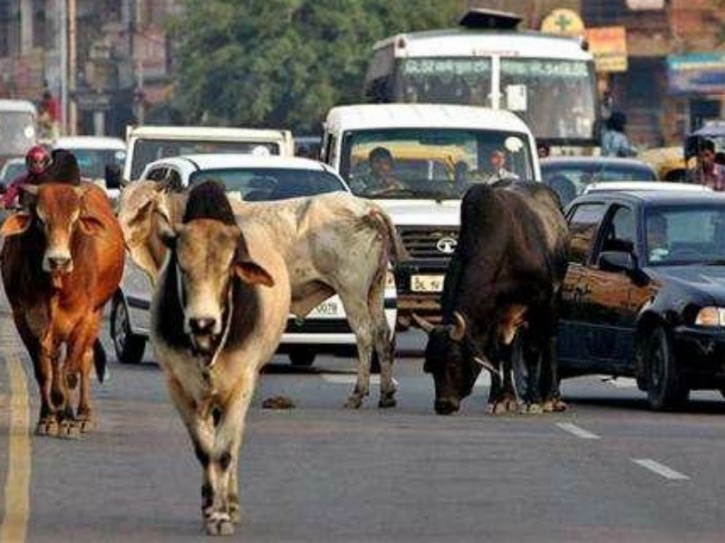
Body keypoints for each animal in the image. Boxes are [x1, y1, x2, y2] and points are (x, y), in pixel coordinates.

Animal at [1, 182, 125, 435]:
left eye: (74, 220)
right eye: (40, 220)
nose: (58, 261)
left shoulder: (83, 318)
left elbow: (70, 372)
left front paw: (68, 420)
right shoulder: (24, 319)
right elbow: (44, 372)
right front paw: (48, 418)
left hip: (95, 315)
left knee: (84, 360)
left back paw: (82, 415)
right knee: (55, 360)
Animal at [118, 180, 405, 409]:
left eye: (145, 206)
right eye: (120, 203)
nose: (120, 235)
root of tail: (365, 207)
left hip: (351, 290)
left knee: (365, 335)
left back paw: (358, 394)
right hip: (375, 288)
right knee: (382, 334)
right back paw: (386, 394)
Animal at [150, 181, 291, 535]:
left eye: (228, 270)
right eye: (182, 267)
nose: (202, 322)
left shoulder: (242, 383)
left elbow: (224, 451)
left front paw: (223, 515)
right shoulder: (177, 386)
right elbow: (205, 451)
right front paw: (210, 509)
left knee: (233, 443)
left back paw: (232, 502)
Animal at [412, 180, 569, 415]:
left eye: (454, 362)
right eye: (429, 366)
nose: (443, 405)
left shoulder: (537, 303)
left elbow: (532, 352)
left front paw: (533, 400)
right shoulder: (493, 315)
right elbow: (495, 356)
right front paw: (498, 399)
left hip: (552, 301)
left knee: (550, 341)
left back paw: (551, 397)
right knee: (507, 351)